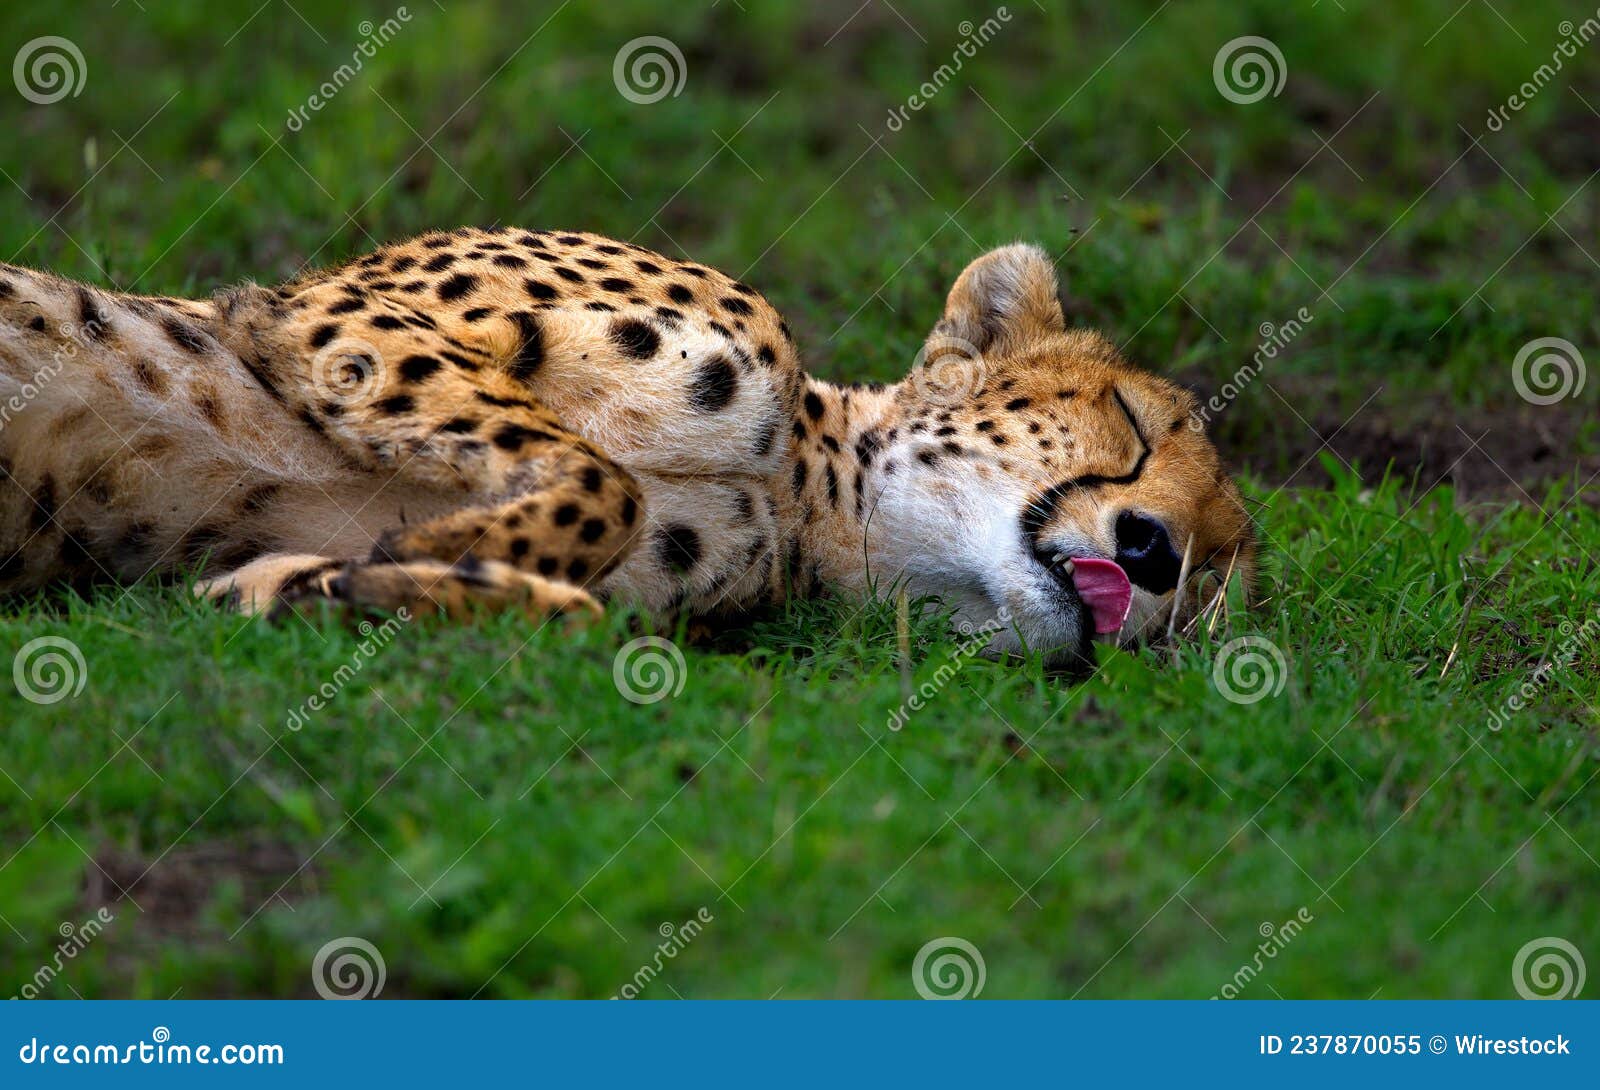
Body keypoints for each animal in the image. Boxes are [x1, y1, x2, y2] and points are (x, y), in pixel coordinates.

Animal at [0, 229, 1255, 668]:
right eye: (1132, 424)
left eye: (1219, 580)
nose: (1156, 556)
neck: (802, 494)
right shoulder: (339, 312)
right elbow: (599, 481)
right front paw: (428, 552)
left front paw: (356, 581)